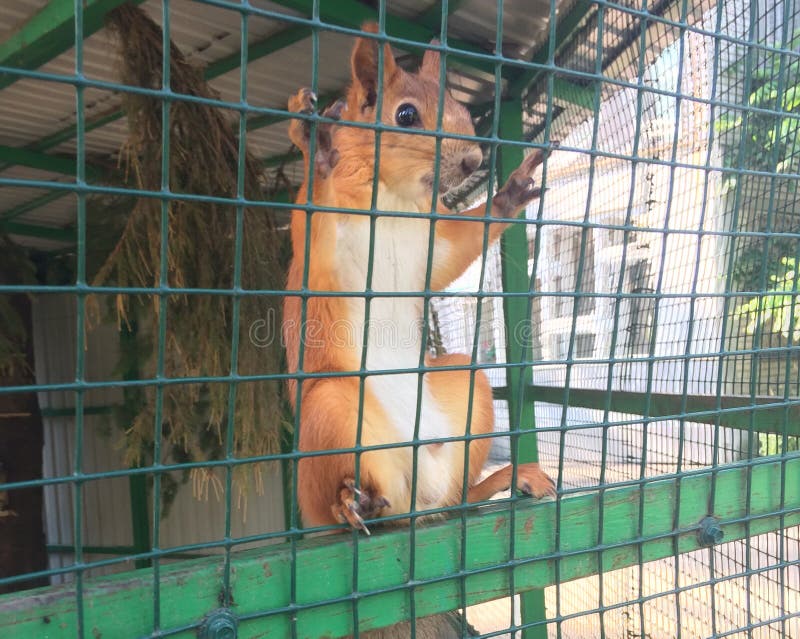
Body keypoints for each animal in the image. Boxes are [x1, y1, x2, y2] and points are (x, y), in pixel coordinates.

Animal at [284, 23, 556, 539]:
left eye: (464, 113)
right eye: (405, 115)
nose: (473, 162)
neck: (393, 198)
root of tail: (416, 497)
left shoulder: (430, 247)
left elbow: (461, 246)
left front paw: (509, 193)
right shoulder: (324, 249)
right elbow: (312, 219)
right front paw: (315, 144)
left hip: (466, 390)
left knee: (456, 498)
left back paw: (505, 479)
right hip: (331, 410)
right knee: (349, 506)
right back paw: (347, 505)